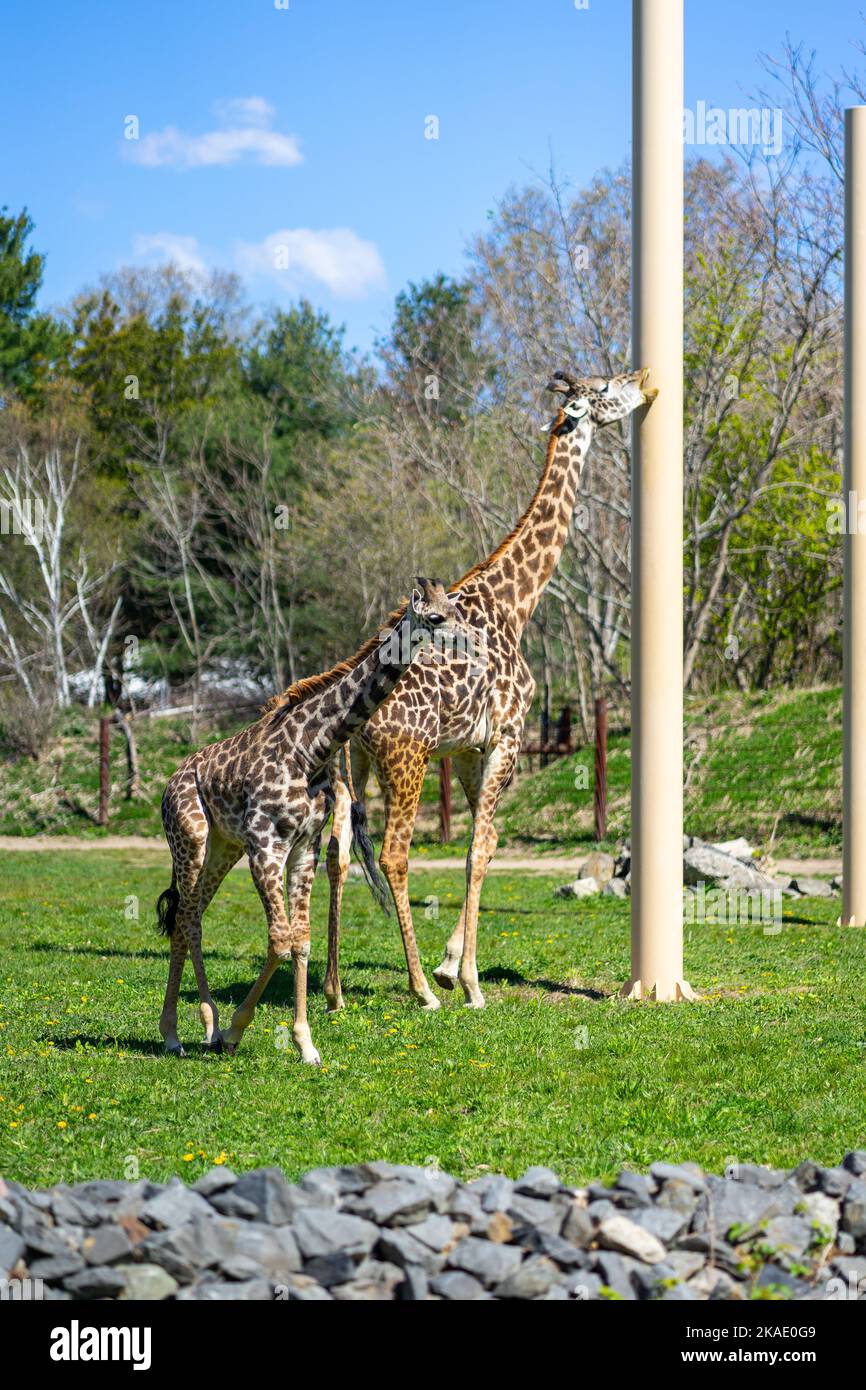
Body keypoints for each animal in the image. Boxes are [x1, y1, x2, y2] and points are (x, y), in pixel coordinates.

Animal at [155, 578, 471, 1063]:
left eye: (457, 612)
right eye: (435, 618)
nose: (471, 645)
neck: (312, 749)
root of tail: (171, 783)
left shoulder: (304, 846)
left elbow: (301, 939)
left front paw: (304, 1043)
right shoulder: (266, 846)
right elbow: (279, 939)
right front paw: (237, 1029)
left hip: (223, 849)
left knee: (192, 919)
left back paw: (206, 1025)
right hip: (190, 841)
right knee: (183, 921)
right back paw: (174, 1034)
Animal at [324, 369, 657, 1013]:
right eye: (605, 387)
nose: (644, 381)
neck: (516, 602)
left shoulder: (468, 749)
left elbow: (488, 840)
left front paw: (453, 964)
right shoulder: (506, 735)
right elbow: (479, 847)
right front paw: (467, 980)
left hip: (353, 770)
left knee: (339, 852)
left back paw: (332, 993)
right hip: (406, 761)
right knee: (395, 854)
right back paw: (420, 990)